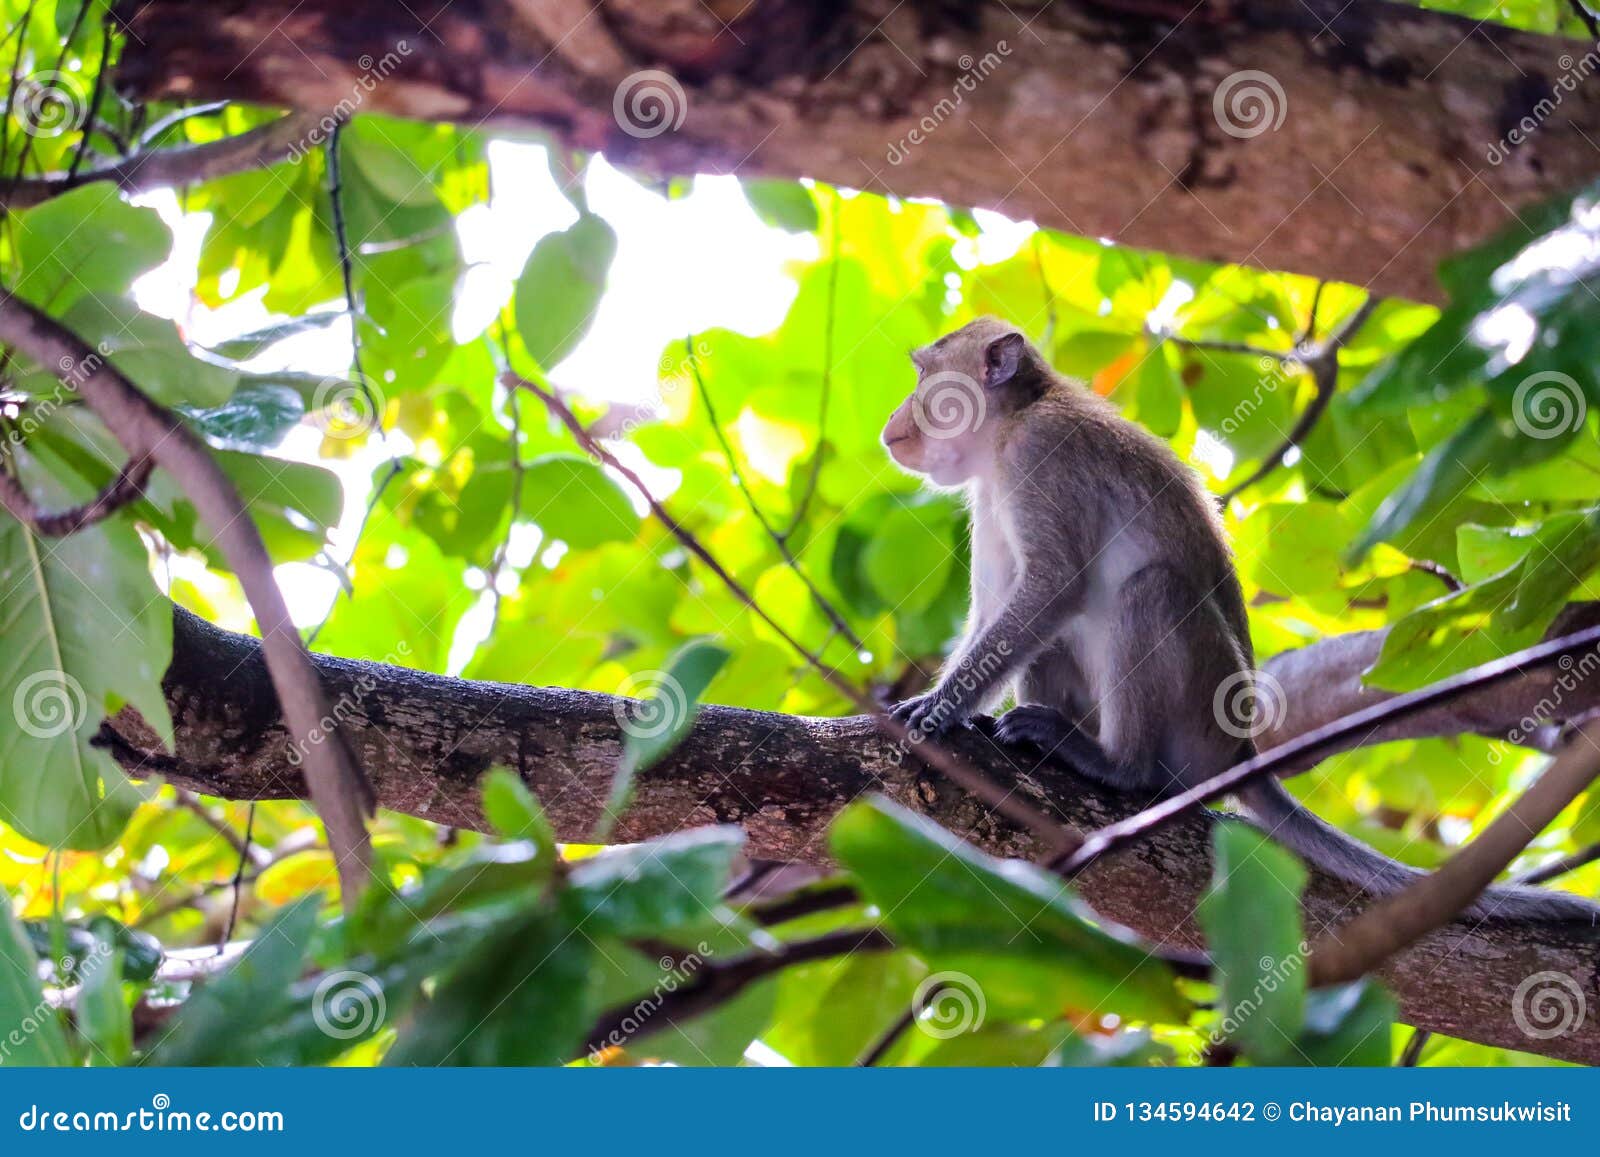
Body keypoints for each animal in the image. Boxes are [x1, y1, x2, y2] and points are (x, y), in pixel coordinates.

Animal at [881, 316, 1597, 924]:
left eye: (922, 377)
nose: (892, 425)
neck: (1012, 424)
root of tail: (1239, 747)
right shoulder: (990, 491)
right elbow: (1004, 606)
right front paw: (952, 704)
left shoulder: (1040, 457)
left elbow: (1055, 585)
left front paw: (938, 710)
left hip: (1199, 717)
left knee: (1152, 591)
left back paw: (1115, 764)